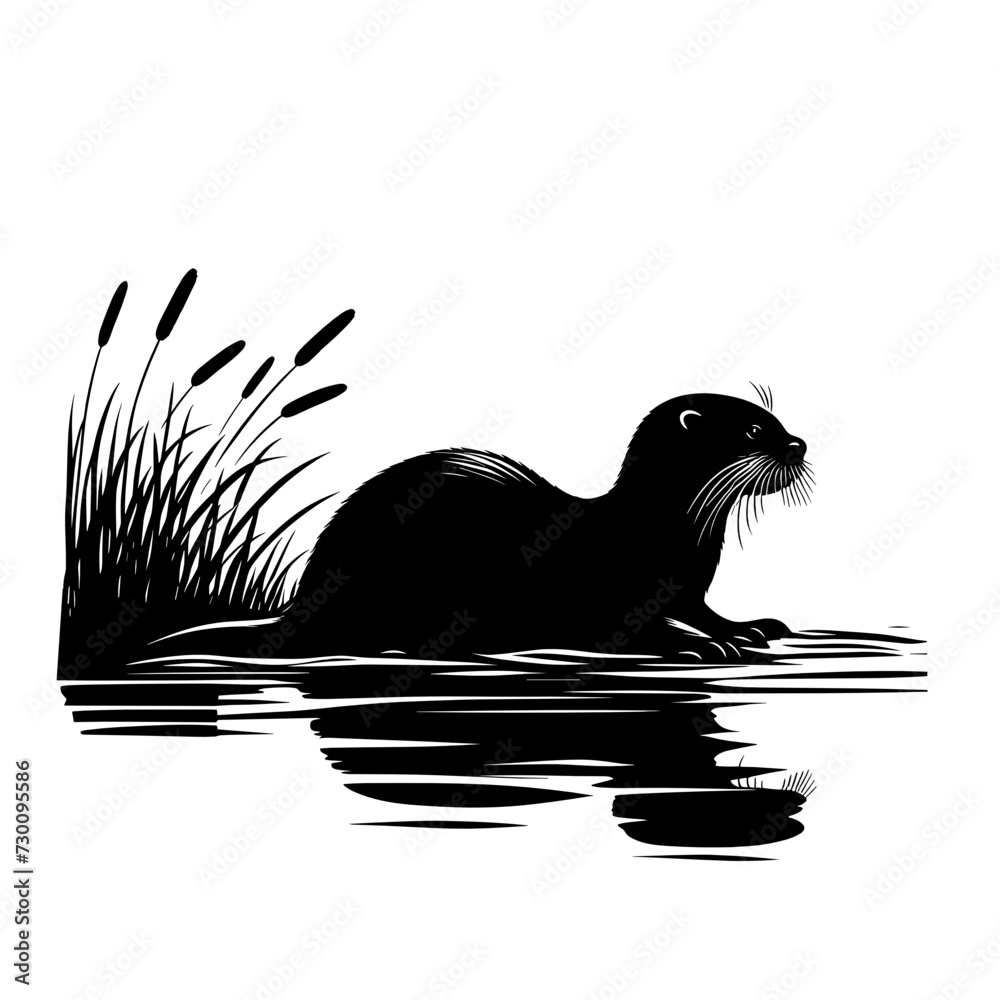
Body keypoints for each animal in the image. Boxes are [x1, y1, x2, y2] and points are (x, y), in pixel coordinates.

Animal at [238, 390, 811, 659]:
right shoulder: (607, 590)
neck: (660, 531)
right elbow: (630, 627)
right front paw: (696, 645)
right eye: (755, 429)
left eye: (776, 419)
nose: (798, 443)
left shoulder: (687, 585)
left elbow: (703, 611)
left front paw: (748, 627)